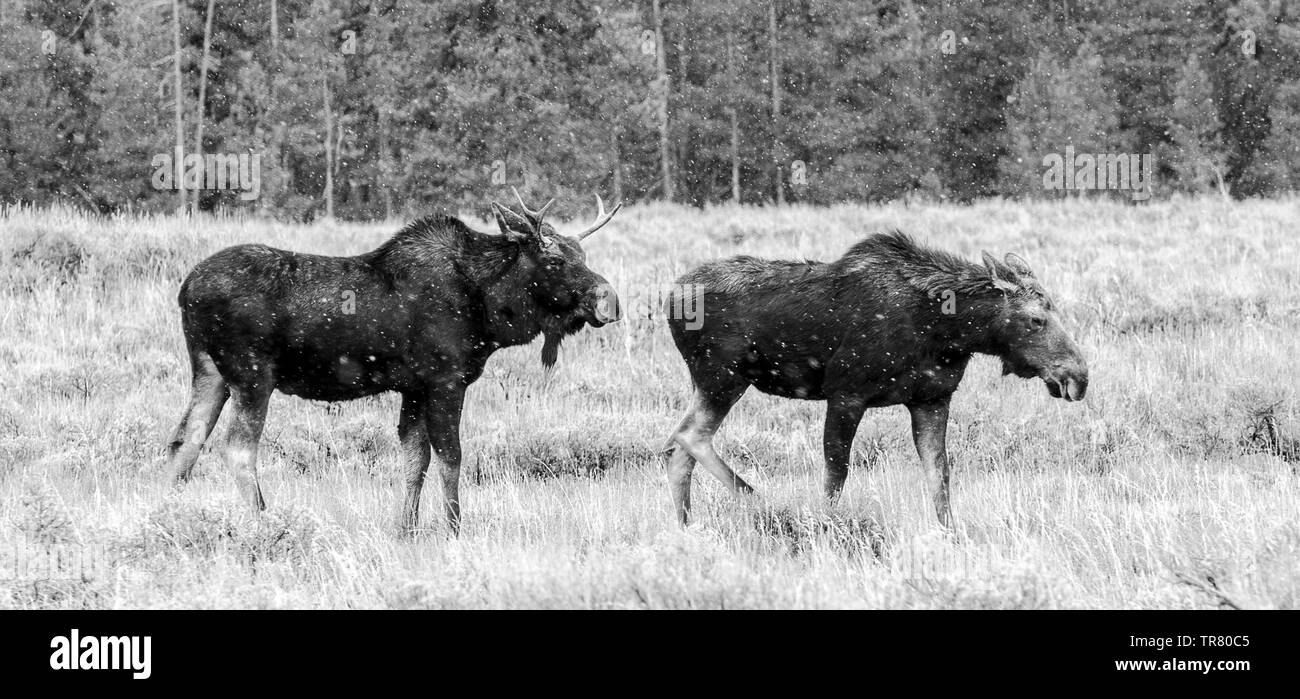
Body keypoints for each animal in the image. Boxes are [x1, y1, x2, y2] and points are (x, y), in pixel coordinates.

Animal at [165, 191, 623, 535]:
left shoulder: (413, 387)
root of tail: (185, 290)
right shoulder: (446, 381)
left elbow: (415, 459)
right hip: (252, 376)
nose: (609, 300)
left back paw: (166, 516)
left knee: (185, 441)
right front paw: (454, 528)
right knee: (238, 448)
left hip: (210, 372)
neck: (488, 308)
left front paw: (407, 528)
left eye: (583, 254)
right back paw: (265, 519)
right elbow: (451, 457)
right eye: (554, 261)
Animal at [662, 230, 1089, 527]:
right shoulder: (846, 394)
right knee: (689, 437)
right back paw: (757, 498)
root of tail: (670, 299)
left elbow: (940, 476)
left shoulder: (931, 399)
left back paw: (686, 525)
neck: (948, 333)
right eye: (1036, 319)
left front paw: (950, 535)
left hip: (709, 384)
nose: (1078, 376)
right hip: (723, 378)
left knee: (677, 448)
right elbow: (836, 475)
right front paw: (824, 525)